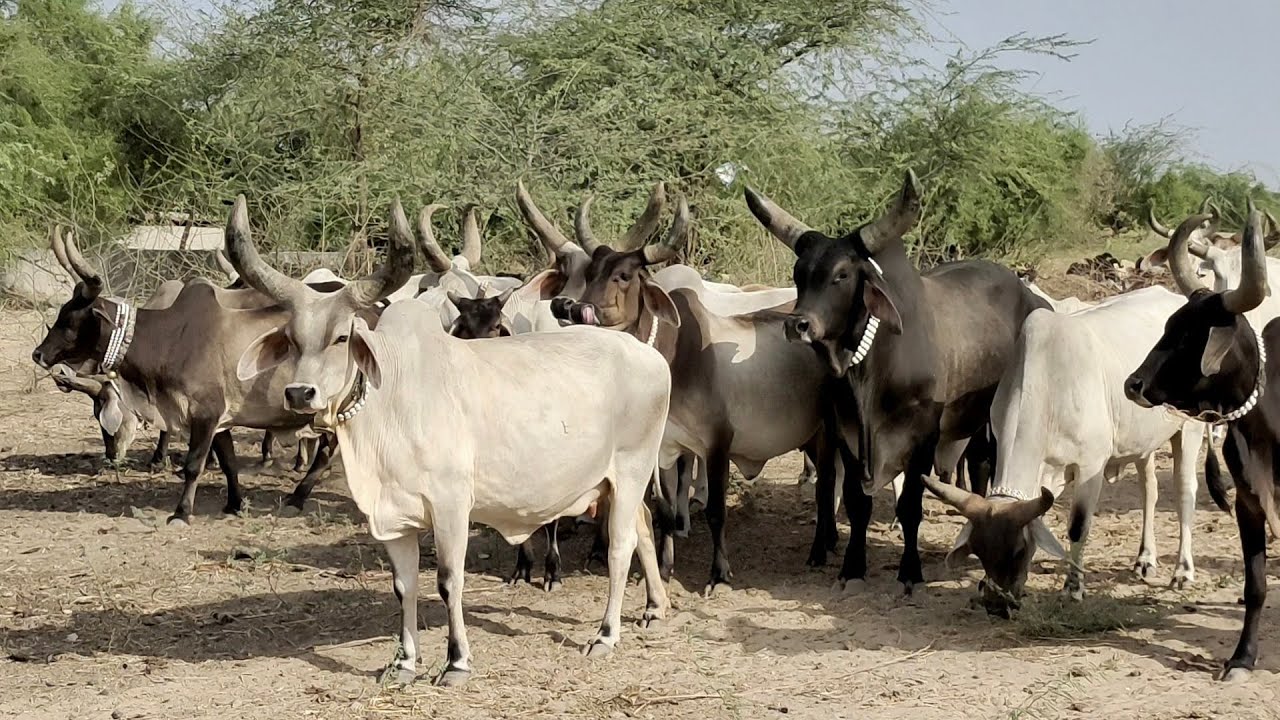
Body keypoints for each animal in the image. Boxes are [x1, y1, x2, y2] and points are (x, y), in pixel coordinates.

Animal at [226, 195, 672, 687]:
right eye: (290, 339)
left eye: (342, 337)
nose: (300, 393)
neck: (391, 401)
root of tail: (648, 355)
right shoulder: (392, 517)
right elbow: (404, 586)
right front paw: (404, 662)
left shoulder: (451, 506)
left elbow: (447, 581)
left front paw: (457, 661)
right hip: (615, 482)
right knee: (643, 526)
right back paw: (655, 607)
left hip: (630, 471)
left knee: (620, 546)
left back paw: (606, 634)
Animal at [744, 169, 1052, 593]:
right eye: (799, 273)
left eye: (842, 275)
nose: (798, 324)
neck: (868, 374)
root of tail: (1027, 291)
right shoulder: (846, 434)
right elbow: (857, 503)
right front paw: (853, 566)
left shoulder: (922, 438)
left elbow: (909, 506)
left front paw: (910, 570)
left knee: (982, 463)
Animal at [923, 284, 1227, 618]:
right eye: (979, 550)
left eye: (1019, 549)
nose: (995, 604)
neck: (1048, 386)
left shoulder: (1090, 467)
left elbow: (1078, 528)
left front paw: (1073, 588)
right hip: (1143, 444)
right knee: (1149, 490)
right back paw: (1145, 558)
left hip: (1189, 429)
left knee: (1185, 493)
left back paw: (1183, 571)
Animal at [1125, 202, 1276, 682]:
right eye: (1169, 326)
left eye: (1193, 336)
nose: (1133, 384)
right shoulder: (1249, 502)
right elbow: (1256, 585)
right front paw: (1242, 658)